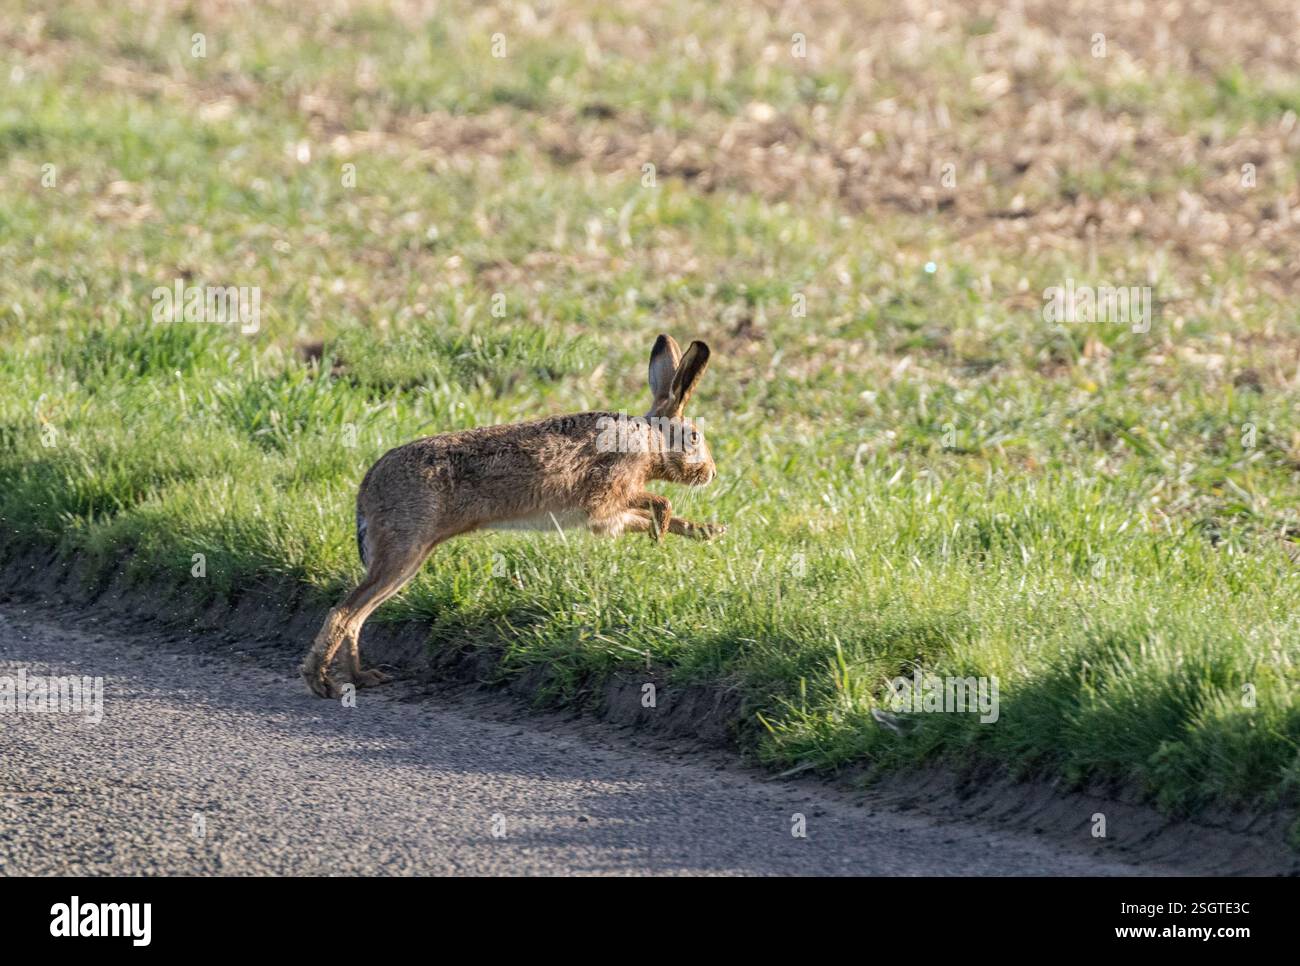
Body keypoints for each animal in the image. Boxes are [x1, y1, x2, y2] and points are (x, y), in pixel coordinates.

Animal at [301, 334, 726, 697]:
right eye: (693, 438)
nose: (711, 472)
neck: (650, 440)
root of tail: (366, 490)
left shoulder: (607, 516)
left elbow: (652, 516)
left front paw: (708, 531)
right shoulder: (607, 497)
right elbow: (658, 502)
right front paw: (662, 531)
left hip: (409, 558)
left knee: (357, 616)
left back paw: (362, 677)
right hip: (403, 550)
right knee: (344, 612)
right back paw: (323, 683)